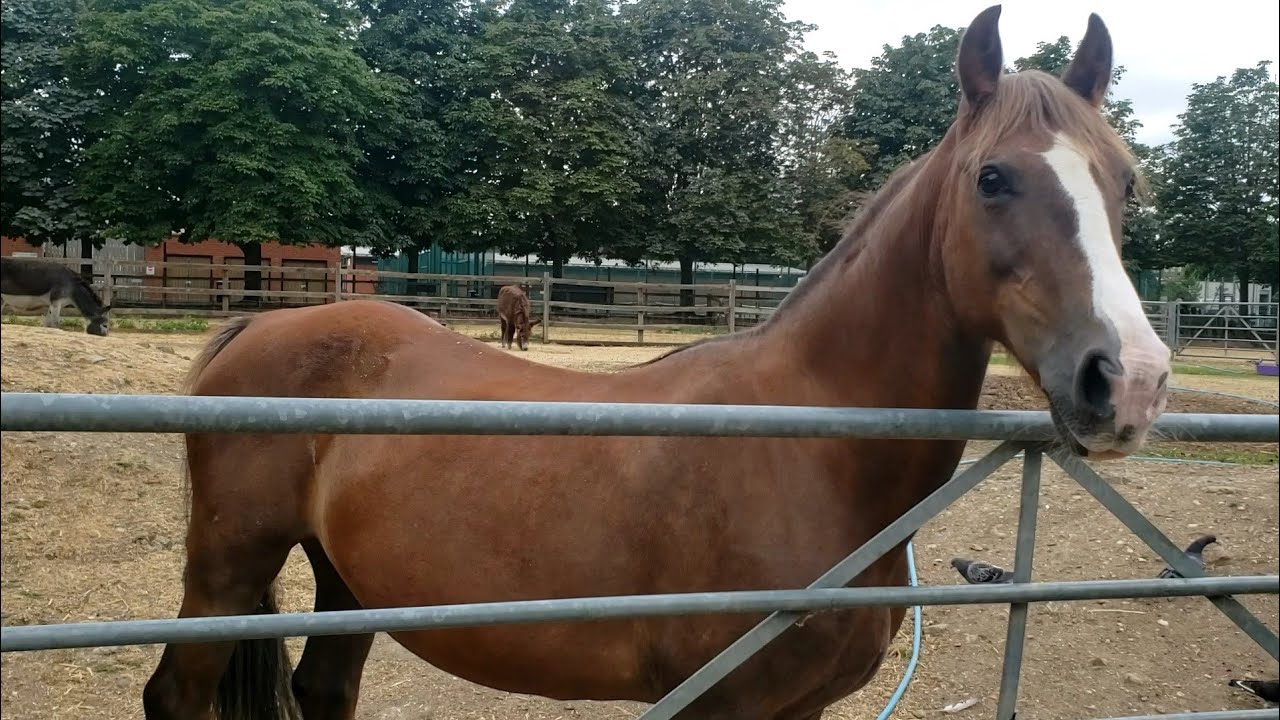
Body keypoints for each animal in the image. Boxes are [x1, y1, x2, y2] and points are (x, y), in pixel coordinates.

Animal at [143, 7, 1172, 719]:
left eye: (1125, 182)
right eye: (993, 178)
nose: (1128, 379)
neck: (811, 449)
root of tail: (261, 329)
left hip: (343, 582)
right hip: (227, 570)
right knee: (175, 694)